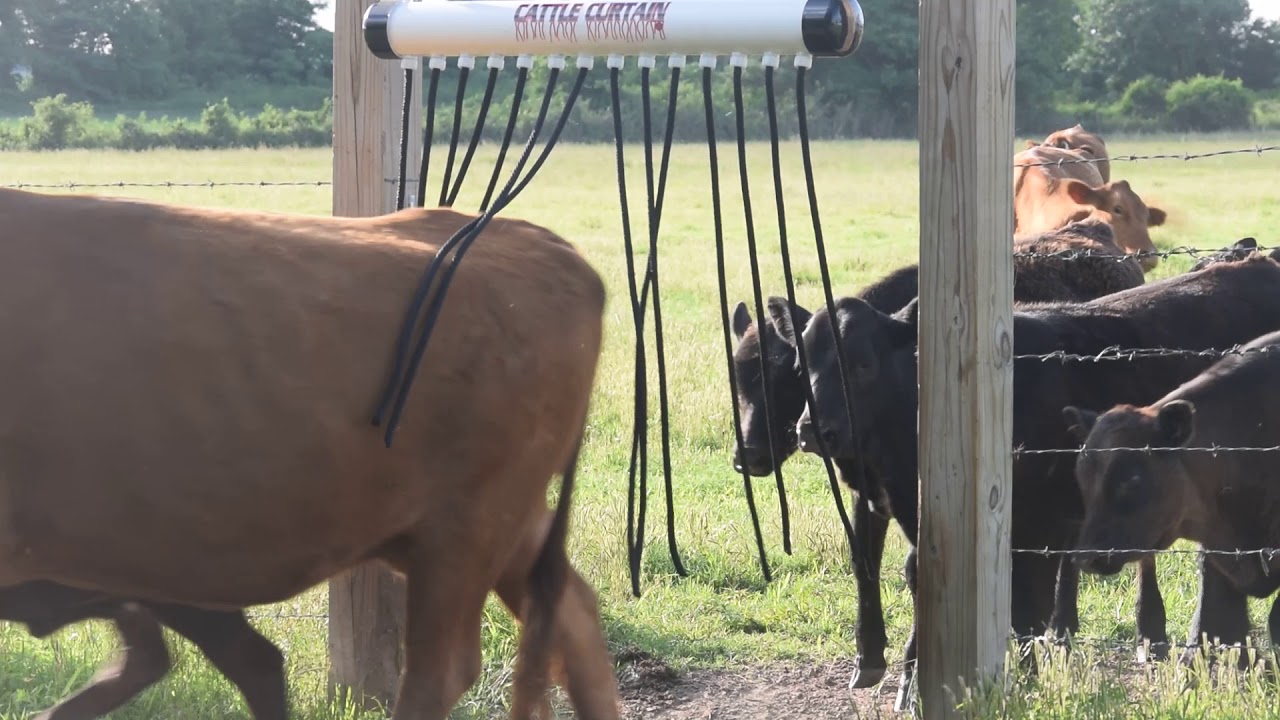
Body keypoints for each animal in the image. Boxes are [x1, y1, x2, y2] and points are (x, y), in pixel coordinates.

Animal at [728, 220, 1145, 694]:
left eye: (783, 378)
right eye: (739, 376)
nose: (748, 455)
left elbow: (919, 570)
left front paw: (912, 674)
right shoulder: (868, 491)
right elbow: (864, 562)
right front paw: (868, 658)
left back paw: (1062, 627)